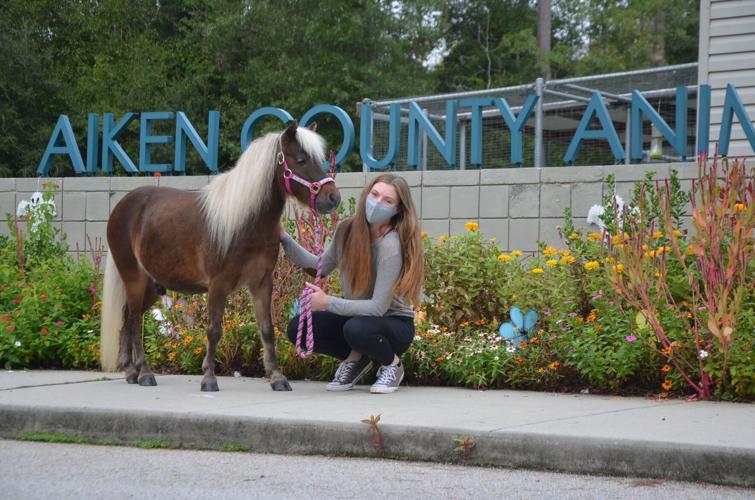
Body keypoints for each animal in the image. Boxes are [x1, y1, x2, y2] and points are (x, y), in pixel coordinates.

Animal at [100, 122, 340, 392]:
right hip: (135, 280)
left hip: (152, 285)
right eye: (301, 159)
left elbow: (266, 328)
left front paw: (277, 378)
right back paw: (144, 373)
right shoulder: (218, 284)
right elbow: (214, 330)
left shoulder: (261, 283)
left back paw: (130, 371)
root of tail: (122, 207)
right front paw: (208, 378)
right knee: (135, 321)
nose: (333, 198)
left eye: (320, 159)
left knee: (128, 317)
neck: (245, 223)